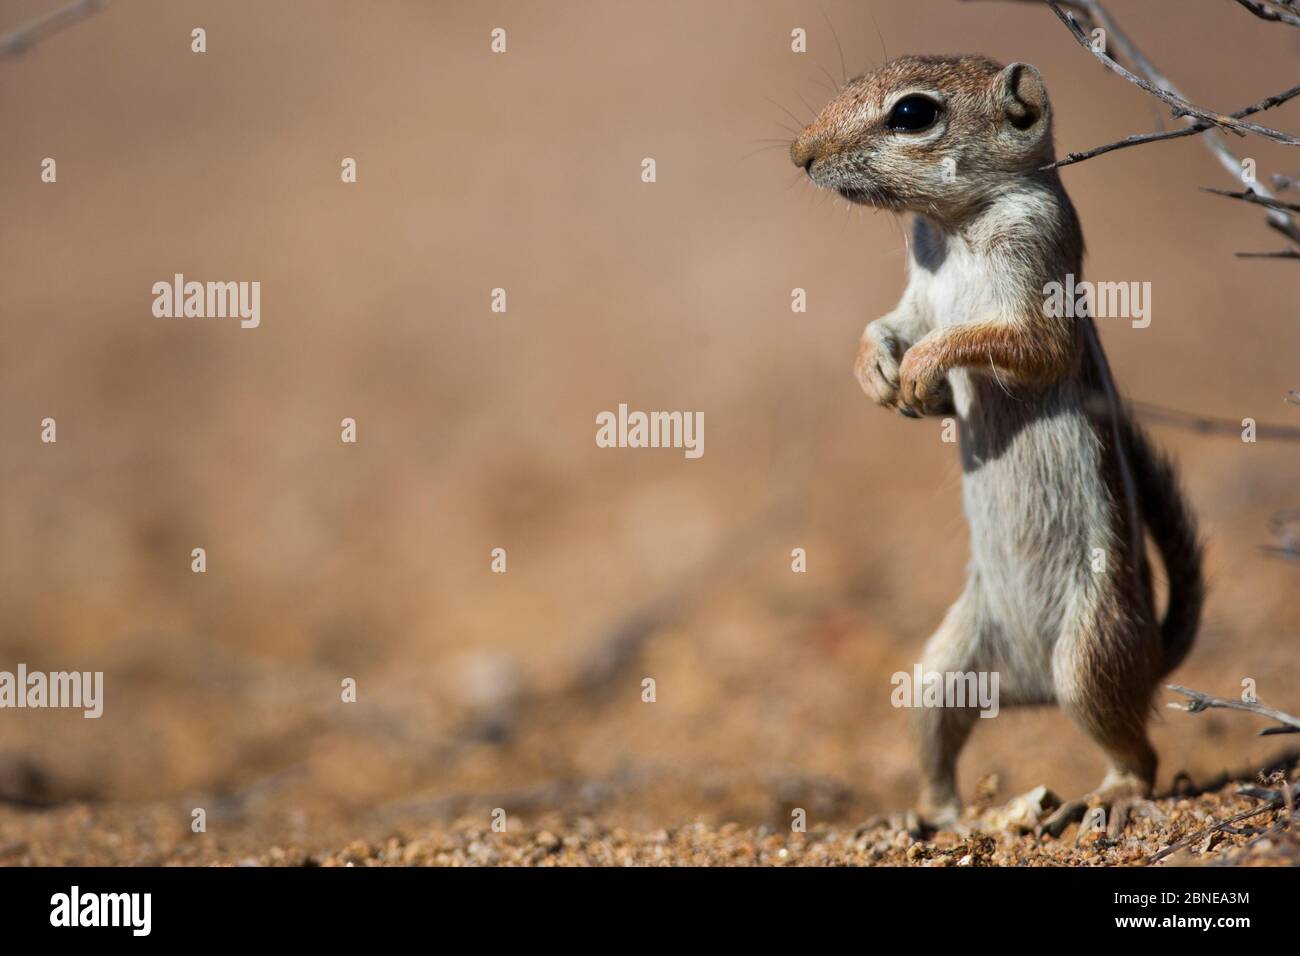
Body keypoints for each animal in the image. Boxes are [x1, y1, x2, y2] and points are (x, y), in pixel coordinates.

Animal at [790, 54, 1204, 832]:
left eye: (913, 114)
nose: (800, 154)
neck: (953, 226)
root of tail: (1031, 687)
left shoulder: (1036, 260)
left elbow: (1015, 342)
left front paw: (922, 371)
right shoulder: (917, 293)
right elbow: (889, 323)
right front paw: (877, 373)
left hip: (1088, 655)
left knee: (1141, 754)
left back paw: (1103, 800)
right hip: (941, 671)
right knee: (939, 739)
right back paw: (923, 817)